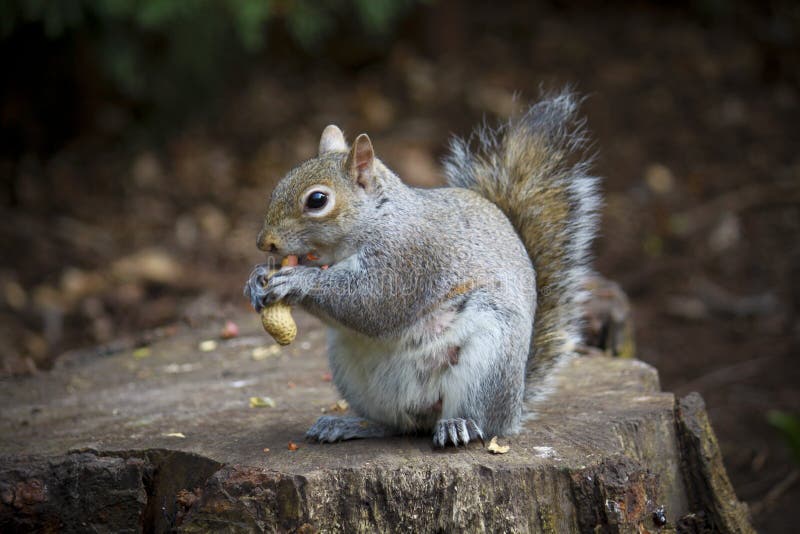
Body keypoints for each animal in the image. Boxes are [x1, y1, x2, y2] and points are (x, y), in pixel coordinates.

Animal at [244, 90, 600, 447]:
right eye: (279, 184)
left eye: (317, 200)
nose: (264, 243)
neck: (378, 219)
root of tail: (514, 407)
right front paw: (257, 279)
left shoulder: (410, 257)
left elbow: (371, 303)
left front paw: (297, 281)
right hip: (353, 373)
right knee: (396, 424)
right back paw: (349, 425)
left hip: (489, 358)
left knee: (481, 421)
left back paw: (459, 425)